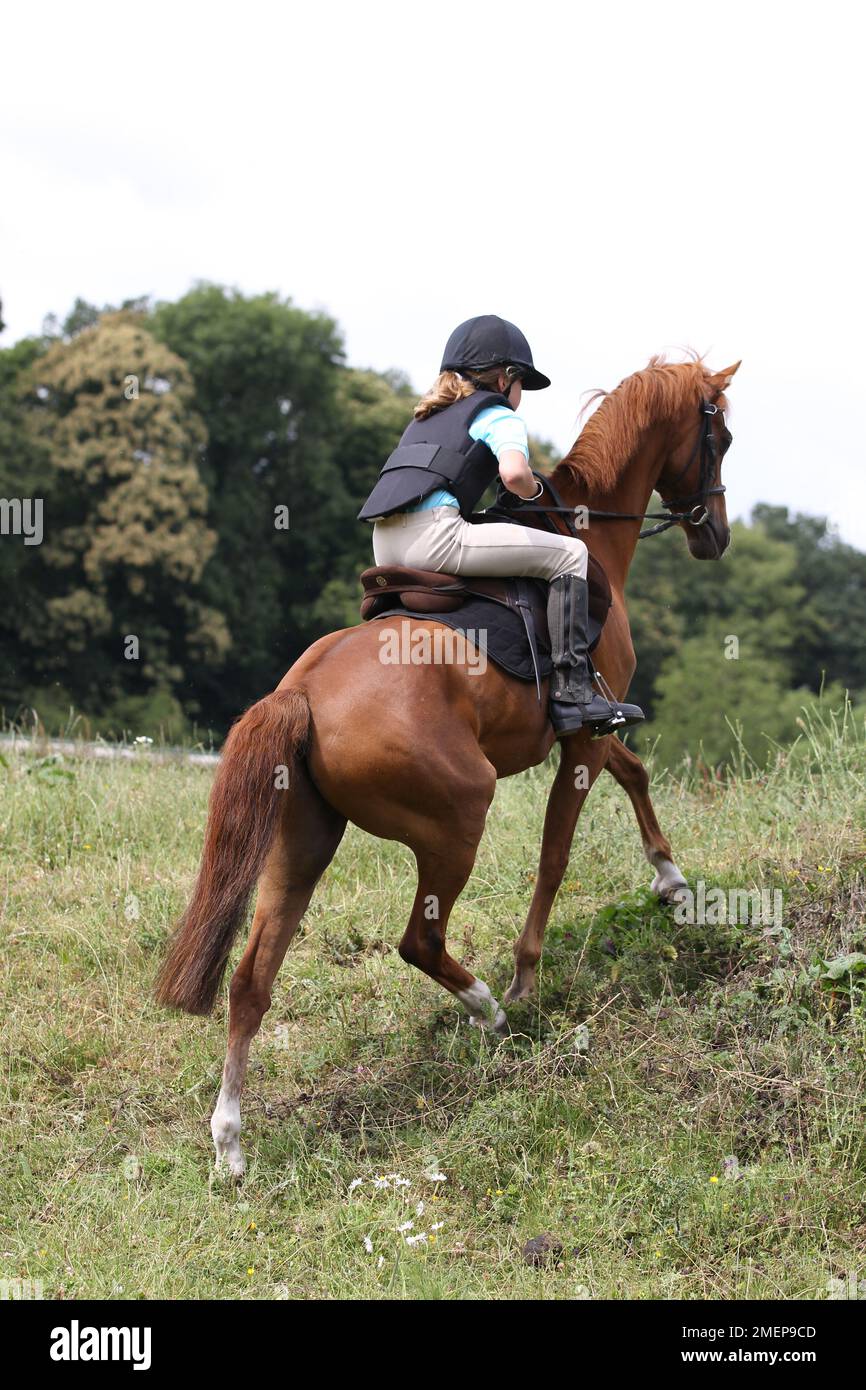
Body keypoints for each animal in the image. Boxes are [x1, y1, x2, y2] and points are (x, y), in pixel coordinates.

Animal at [156, 352, 740, 1177]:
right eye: (719, 440)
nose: (714, 535)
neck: (590, 537)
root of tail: (300, 692)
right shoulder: (582, 736)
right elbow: (556, 854)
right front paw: (529, 975)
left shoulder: (592, 728)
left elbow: (634, 772)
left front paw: (672, 880)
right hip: (458, 815)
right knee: (419, 942)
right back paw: (492, 1010)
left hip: (303, 840)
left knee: (250, 981)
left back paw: (230, 1143)